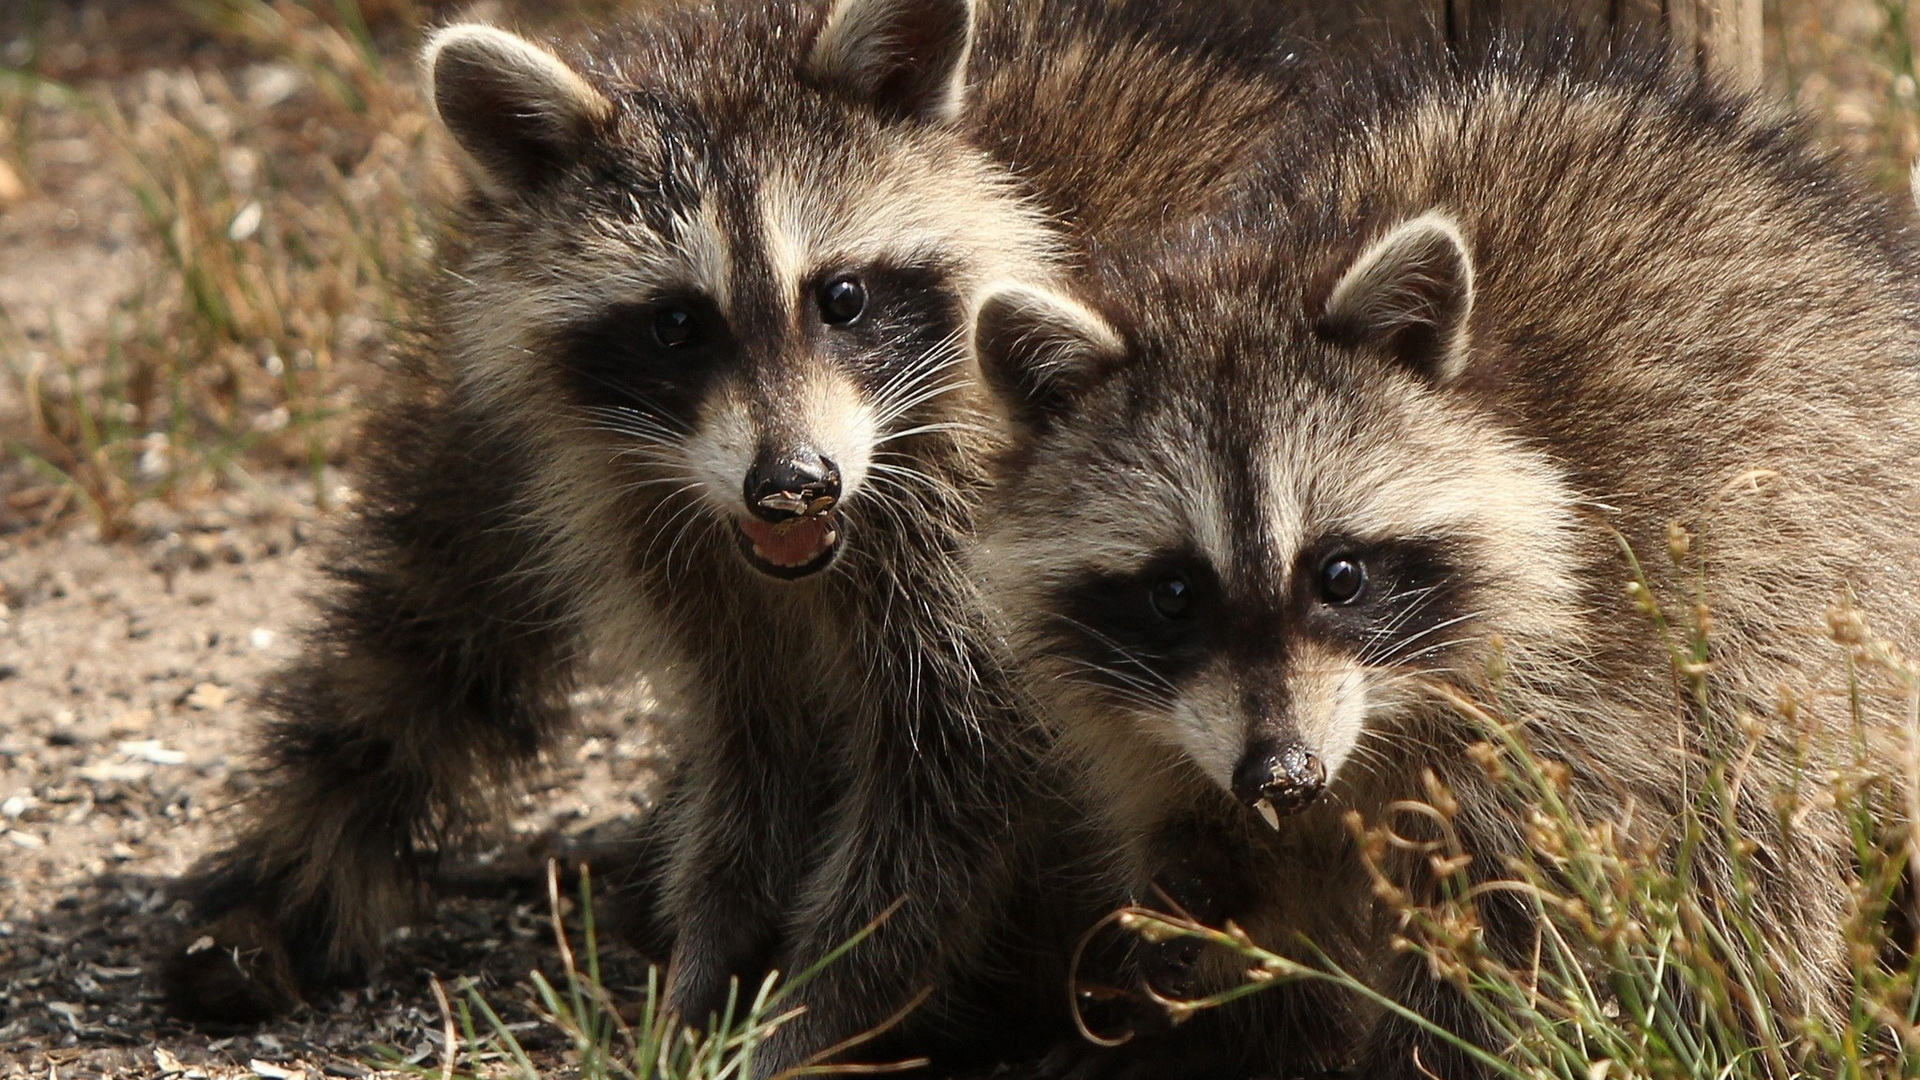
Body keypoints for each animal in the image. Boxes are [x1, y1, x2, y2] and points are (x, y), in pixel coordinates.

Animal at [159, 0, 1309, 1069]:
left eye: (841, 297)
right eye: (675, 324)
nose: (792, 484)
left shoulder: (989, 536)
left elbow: (948, 794)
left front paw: (809, 1013)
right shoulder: (661, 528)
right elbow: (752, 756)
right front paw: (710, 969)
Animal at [968, 42, 1920, 1078]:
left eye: (1340, 576)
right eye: (1173, 592)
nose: (1281, 772)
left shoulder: (1582, 687)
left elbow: (1520, 924)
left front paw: (1434, 1045)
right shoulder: (1166, 740)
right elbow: (1217, 876)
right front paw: (1195, 987)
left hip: (1814, 583)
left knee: (1756, 837)